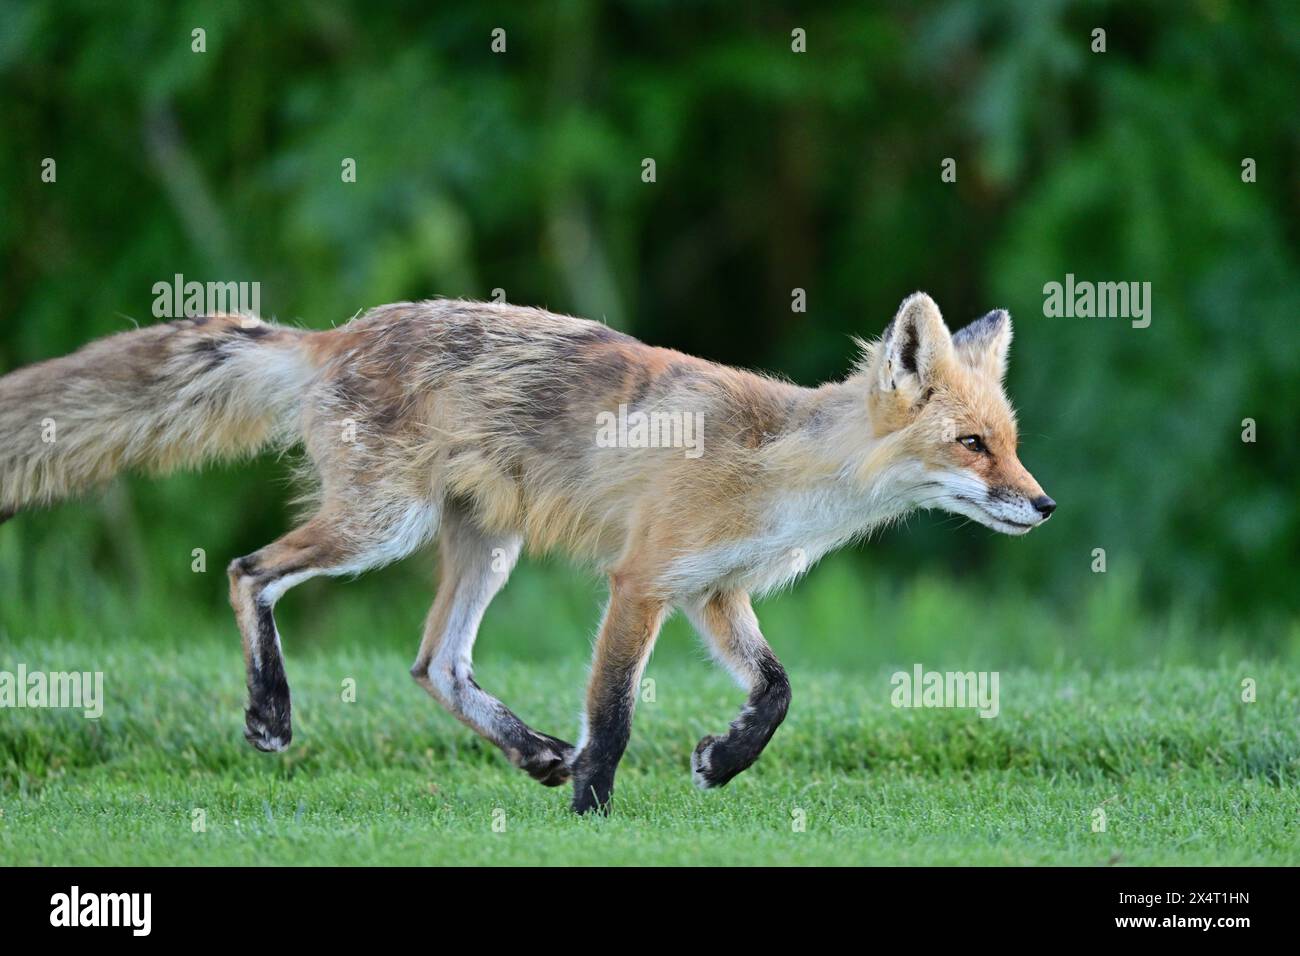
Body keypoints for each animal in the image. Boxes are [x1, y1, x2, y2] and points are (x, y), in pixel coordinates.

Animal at [0, 292, 1053, 813]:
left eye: (1010, 440)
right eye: (972, 445)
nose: (1042, 505)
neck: (781, 472)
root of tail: (338, 335)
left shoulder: (715, 592)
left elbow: (779, 691)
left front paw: (720, 761)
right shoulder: (644, 581)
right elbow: (616, 712)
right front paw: (594, 805)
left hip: (488, 546)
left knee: (435, 665)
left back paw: (531, 751)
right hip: (382, 526)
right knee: (247, 570)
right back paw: (270, 710)